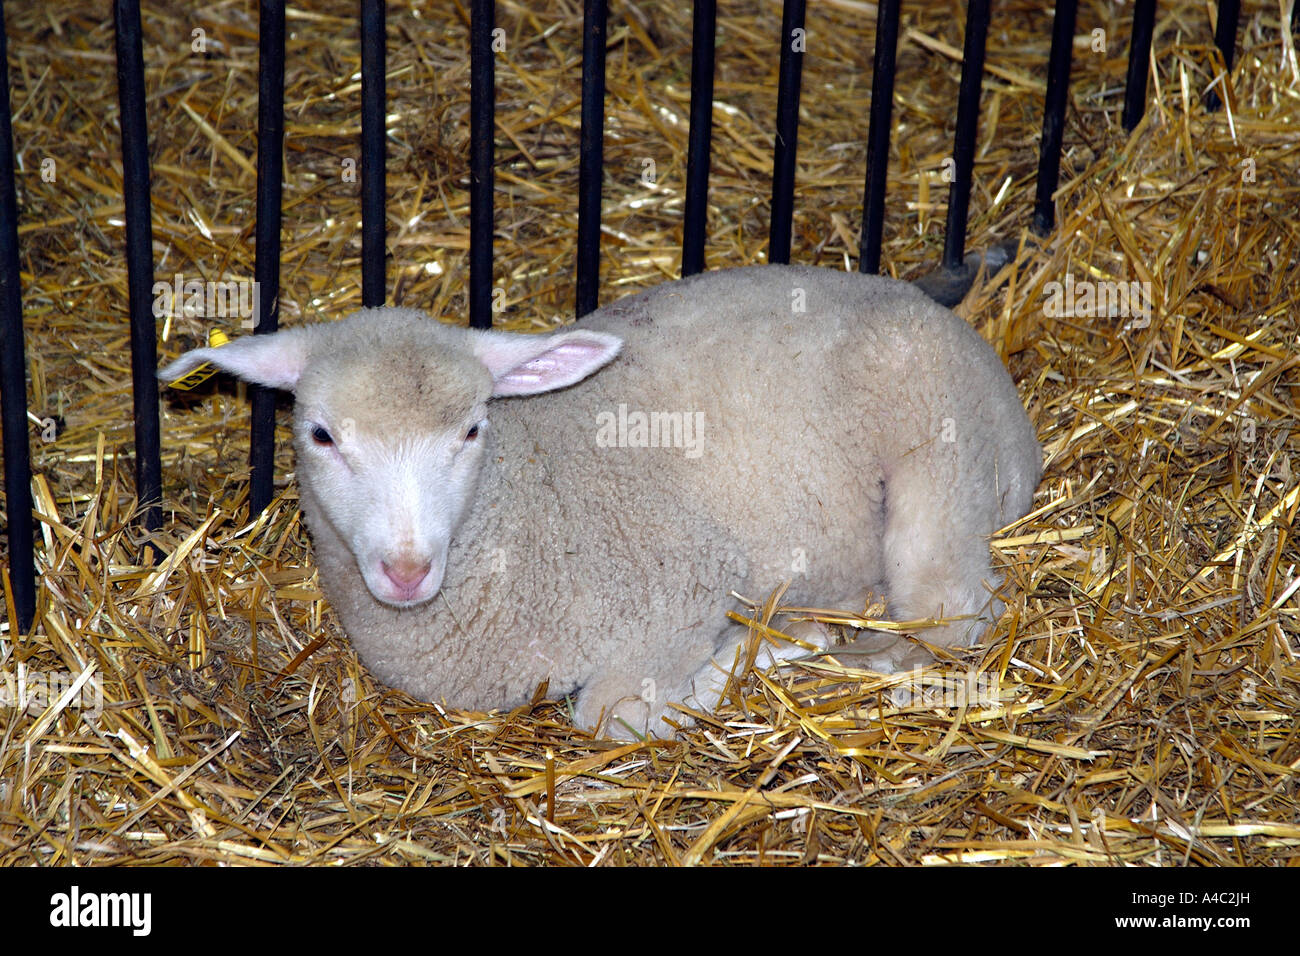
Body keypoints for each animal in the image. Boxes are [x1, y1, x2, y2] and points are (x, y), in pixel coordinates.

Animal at [159, 264, 1041, 738]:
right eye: (321, 435)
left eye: (472, 429)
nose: (407, 569)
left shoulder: (685, 580)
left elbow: (608, 714)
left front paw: (737, 663)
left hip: (942, 465)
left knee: (954, 616)